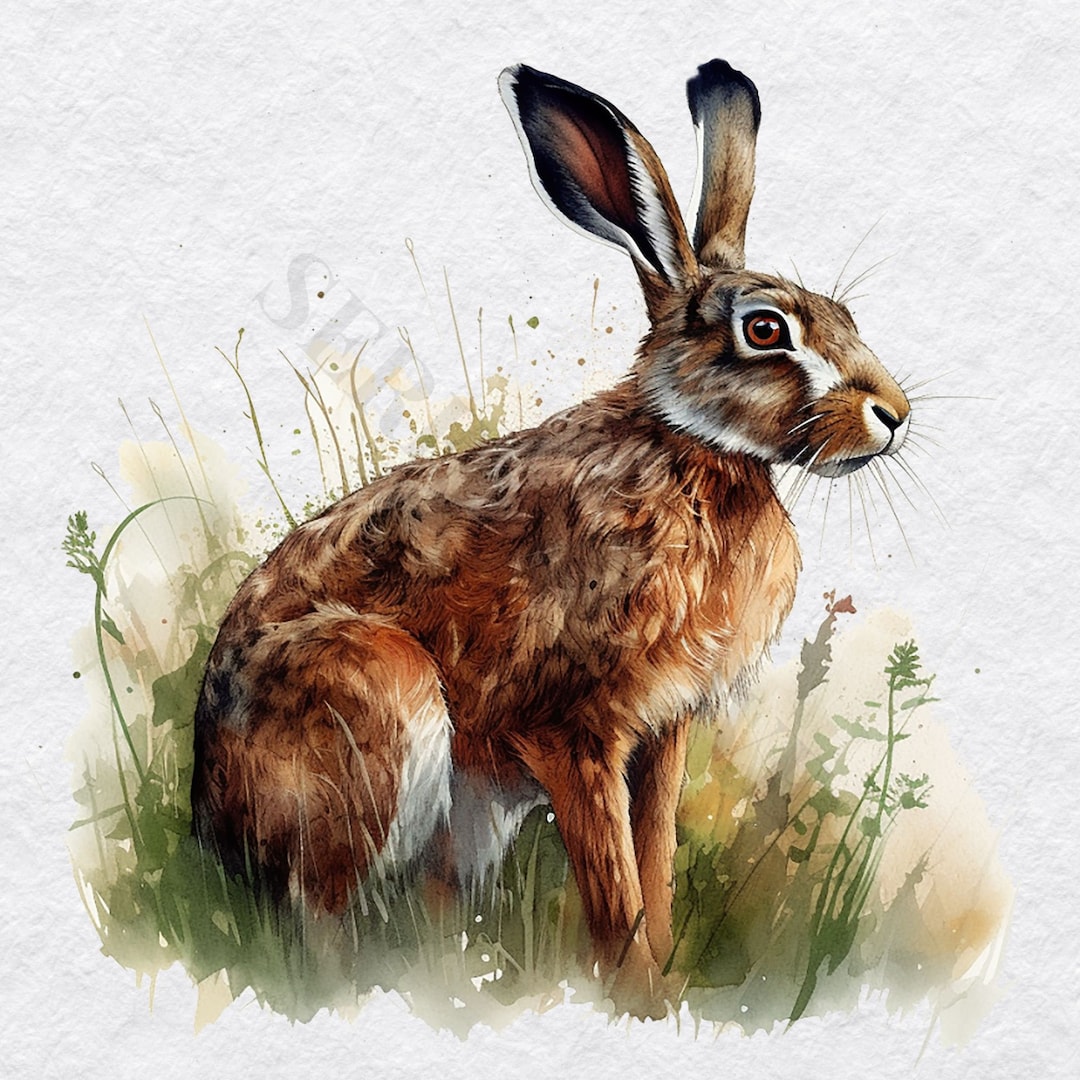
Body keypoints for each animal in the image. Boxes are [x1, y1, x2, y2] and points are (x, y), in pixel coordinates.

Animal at [191, 59, 910, 987]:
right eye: (764, 329)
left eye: (845, 316)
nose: (893, 414)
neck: (692, 452)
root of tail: (207, 815)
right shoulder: (572, 729)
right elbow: (613, 891)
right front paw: (637, 994)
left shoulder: (662, 731)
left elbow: (654, 866)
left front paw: (668, 981)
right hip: (373, 701)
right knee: (320, 923)